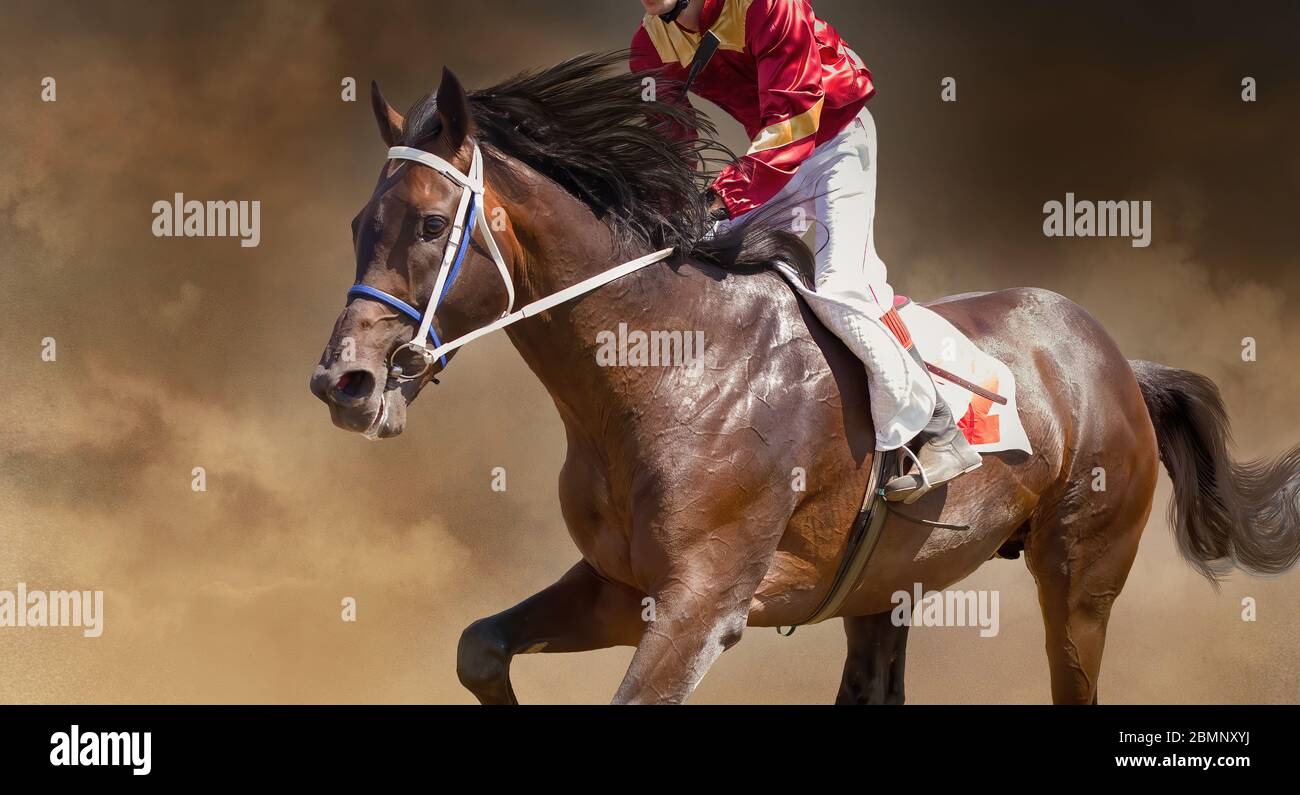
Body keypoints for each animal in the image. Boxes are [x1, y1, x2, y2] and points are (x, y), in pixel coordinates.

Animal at [309, 53, 1300, 704]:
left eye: (430, 224)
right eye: (359, 221)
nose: (344, 382)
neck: (663, 369)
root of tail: (1119, 362)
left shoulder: (703, 602)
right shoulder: (623, 587)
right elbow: (480, 647)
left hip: (1082, 575)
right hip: (886, 584)